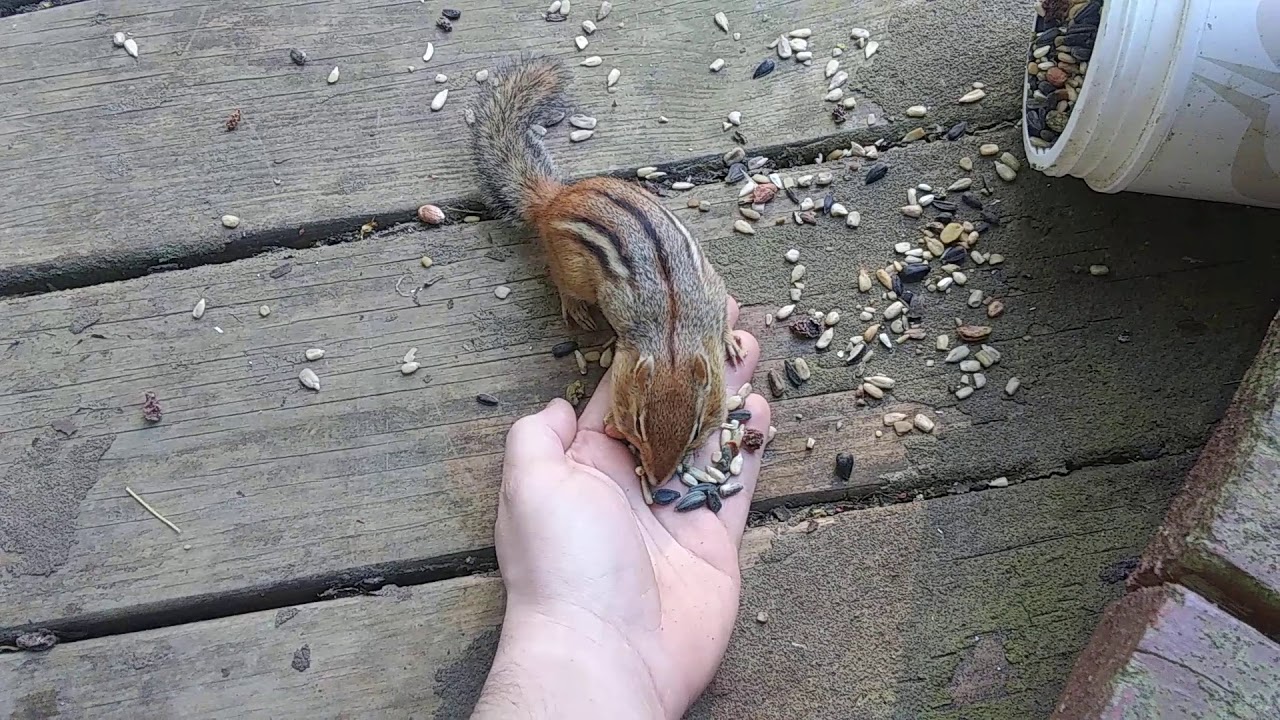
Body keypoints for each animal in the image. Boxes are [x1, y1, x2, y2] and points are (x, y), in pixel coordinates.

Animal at [466, 56, 744, 489]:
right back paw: (576, 308)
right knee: (560, 281)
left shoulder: (712, 297)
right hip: (572, 269)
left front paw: (731, 341)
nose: (658, 480)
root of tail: (554, 199)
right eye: (640, 423)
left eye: (697, 427)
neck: (673, 342)